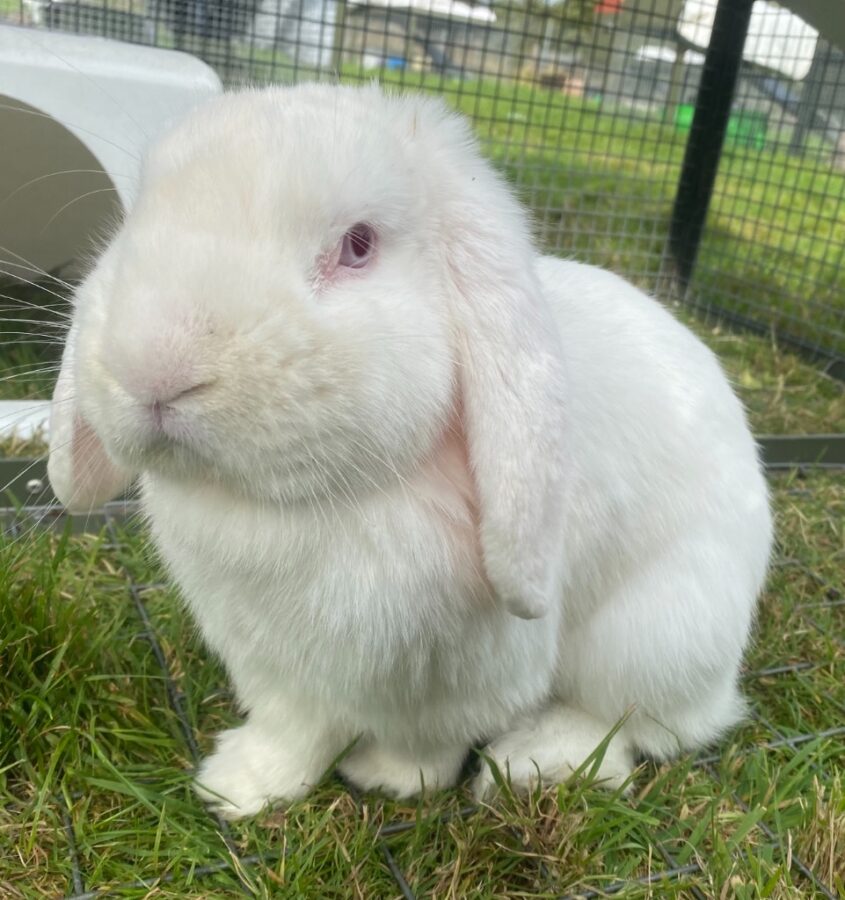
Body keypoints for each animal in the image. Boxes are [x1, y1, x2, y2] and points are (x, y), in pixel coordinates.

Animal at [48, 83, 773, 819]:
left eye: (358, 245)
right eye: (139, 219)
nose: (151, 370)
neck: (299, 504)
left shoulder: (456, 676)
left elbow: (426, 742)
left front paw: (388, 778)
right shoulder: (271, 656)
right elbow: (293, 728)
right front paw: (238, 788)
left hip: (651, 634)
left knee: (631, 724)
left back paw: (537, 759)